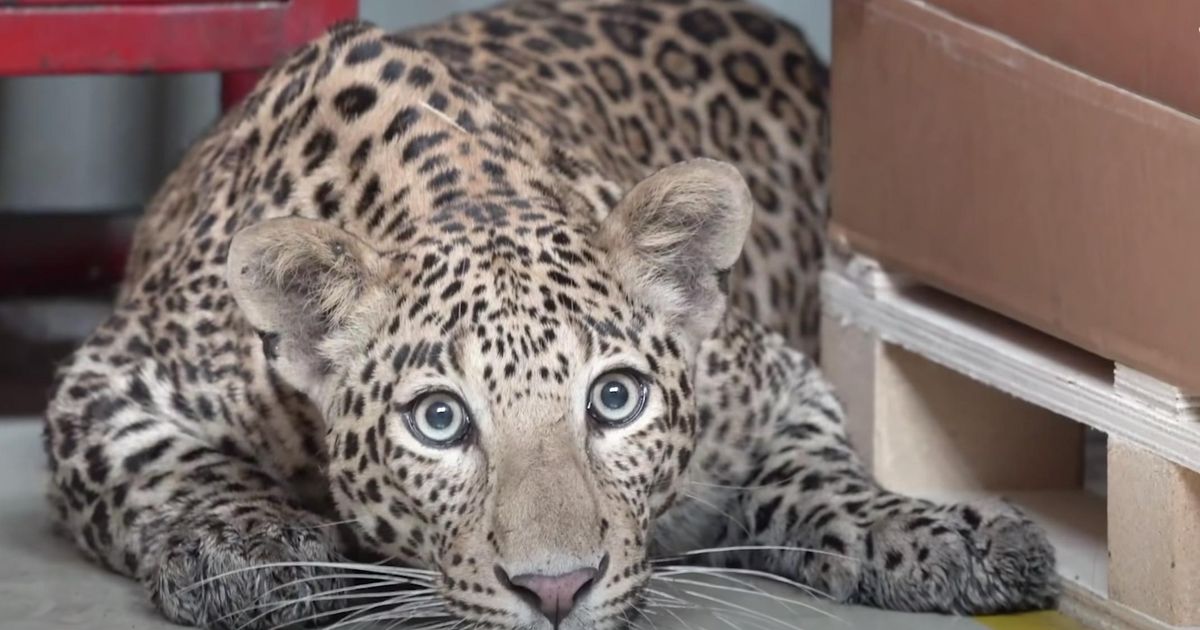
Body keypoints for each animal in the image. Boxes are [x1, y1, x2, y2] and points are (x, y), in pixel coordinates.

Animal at [41, 1, 1059, 629]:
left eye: (615, 400)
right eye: (439, 420)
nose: (558, 589)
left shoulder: (778, 382)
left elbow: (821, 474)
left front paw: (947, 538)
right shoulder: (105, 386)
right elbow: (174, 468)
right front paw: (250, 549)